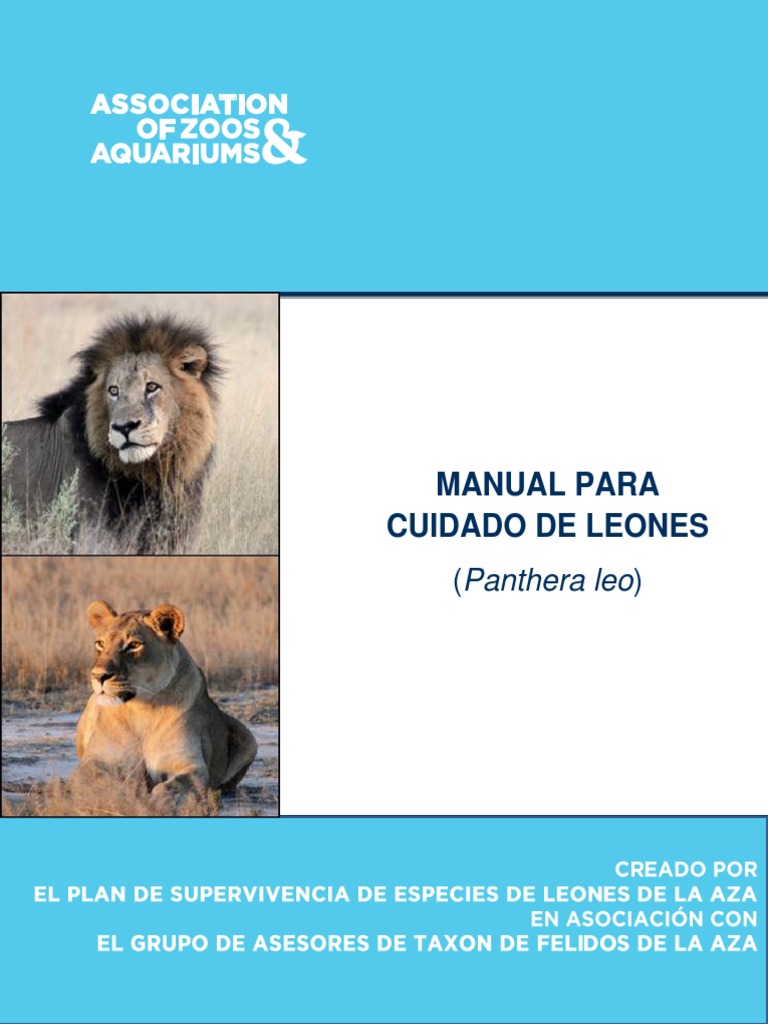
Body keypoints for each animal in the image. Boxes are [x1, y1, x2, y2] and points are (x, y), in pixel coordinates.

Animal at [74, 600, 257, 813]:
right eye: (100, 644)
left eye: (134, 645)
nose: (98, 676)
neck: (140, 709)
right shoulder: (97, 760)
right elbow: (102, 782)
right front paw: (124, 798)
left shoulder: (189, 765)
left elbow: (173, 787)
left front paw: (155, 804)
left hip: (249, 737)